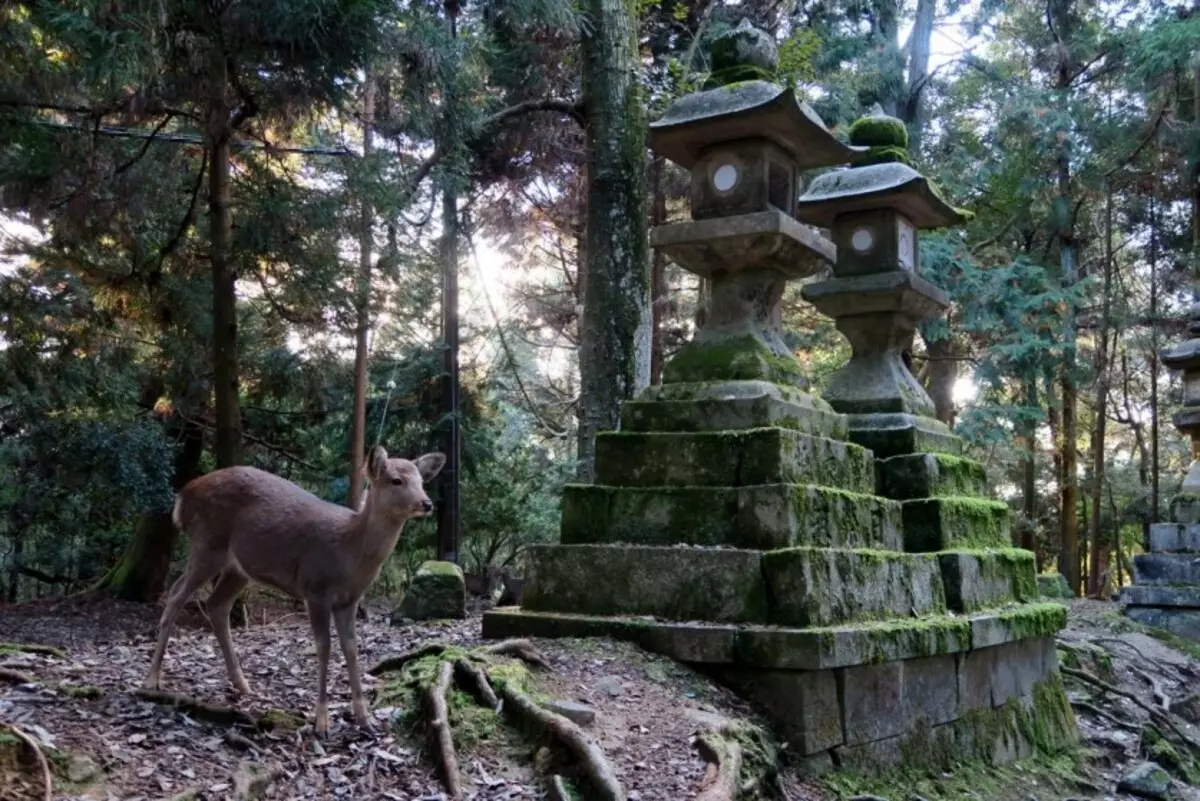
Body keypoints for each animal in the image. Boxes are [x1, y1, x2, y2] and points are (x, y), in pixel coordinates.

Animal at [142, 448, 448, 733]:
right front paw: (321, 722)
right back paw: (152, 679)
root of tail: (183, 496)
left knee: (217, 604)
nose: (427, 503)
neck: (349, 550)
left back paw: (243, 684)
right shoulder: (315, 589)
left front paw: (364, 718)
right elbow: (324, 647)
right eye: (396, 480)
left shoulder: (349, 600)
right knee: (176, 595)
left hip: (238, 566)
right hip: (206, 543)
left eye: (422, 481)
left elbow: (351, 648)